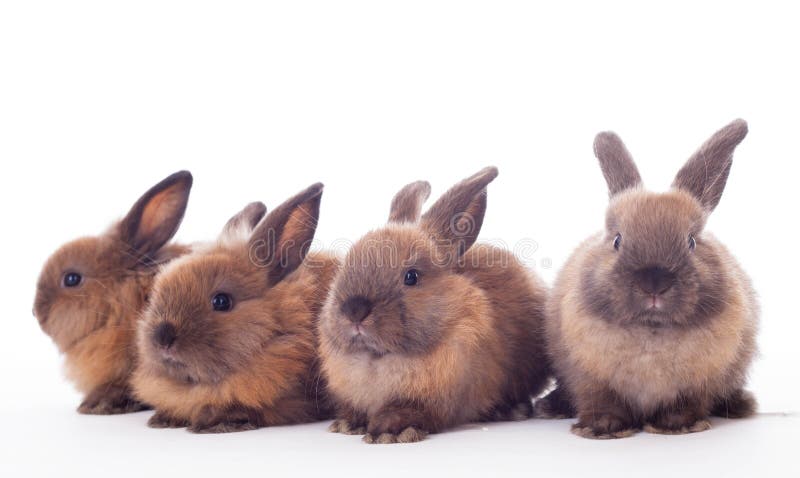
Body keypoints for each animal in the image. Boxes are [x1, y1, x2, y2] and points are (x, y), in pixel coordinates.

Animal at [319, 167, 550, 444]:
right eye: (345, 266)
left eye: (411, 277)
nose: (354, 311)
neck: (378, 360)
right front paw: (346, 424)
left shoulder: (437, 401)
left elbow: (412, 413)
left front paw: (387, 432)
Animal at [538, 119, 759, 439]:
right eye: (617, 240)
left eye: (692, 241)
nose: (654, 283)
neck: (651, 332)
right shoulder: (590, 378)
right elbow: (602, 402)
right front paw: (601, 429)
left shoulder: (698, 384)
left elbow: (686, 405)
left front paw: (677, 426)